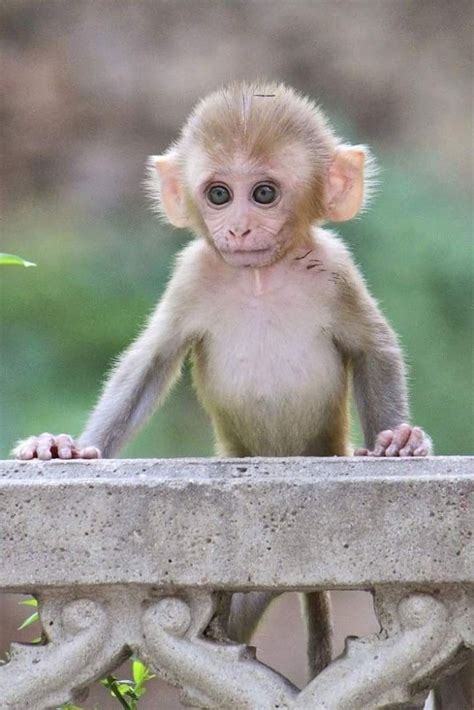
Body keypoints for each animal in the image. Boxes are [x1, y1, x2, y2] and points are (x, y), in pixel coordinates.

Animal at [14, 81, 433, 678]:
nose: (237, 227)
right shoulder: (192, 273)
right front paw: (64, 448)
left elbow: (373, 348)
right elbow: (150, 362)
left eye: (263, 193)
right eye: (217, 194)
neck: (258, 277)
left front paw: (397, 442)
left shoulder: (336, 268)